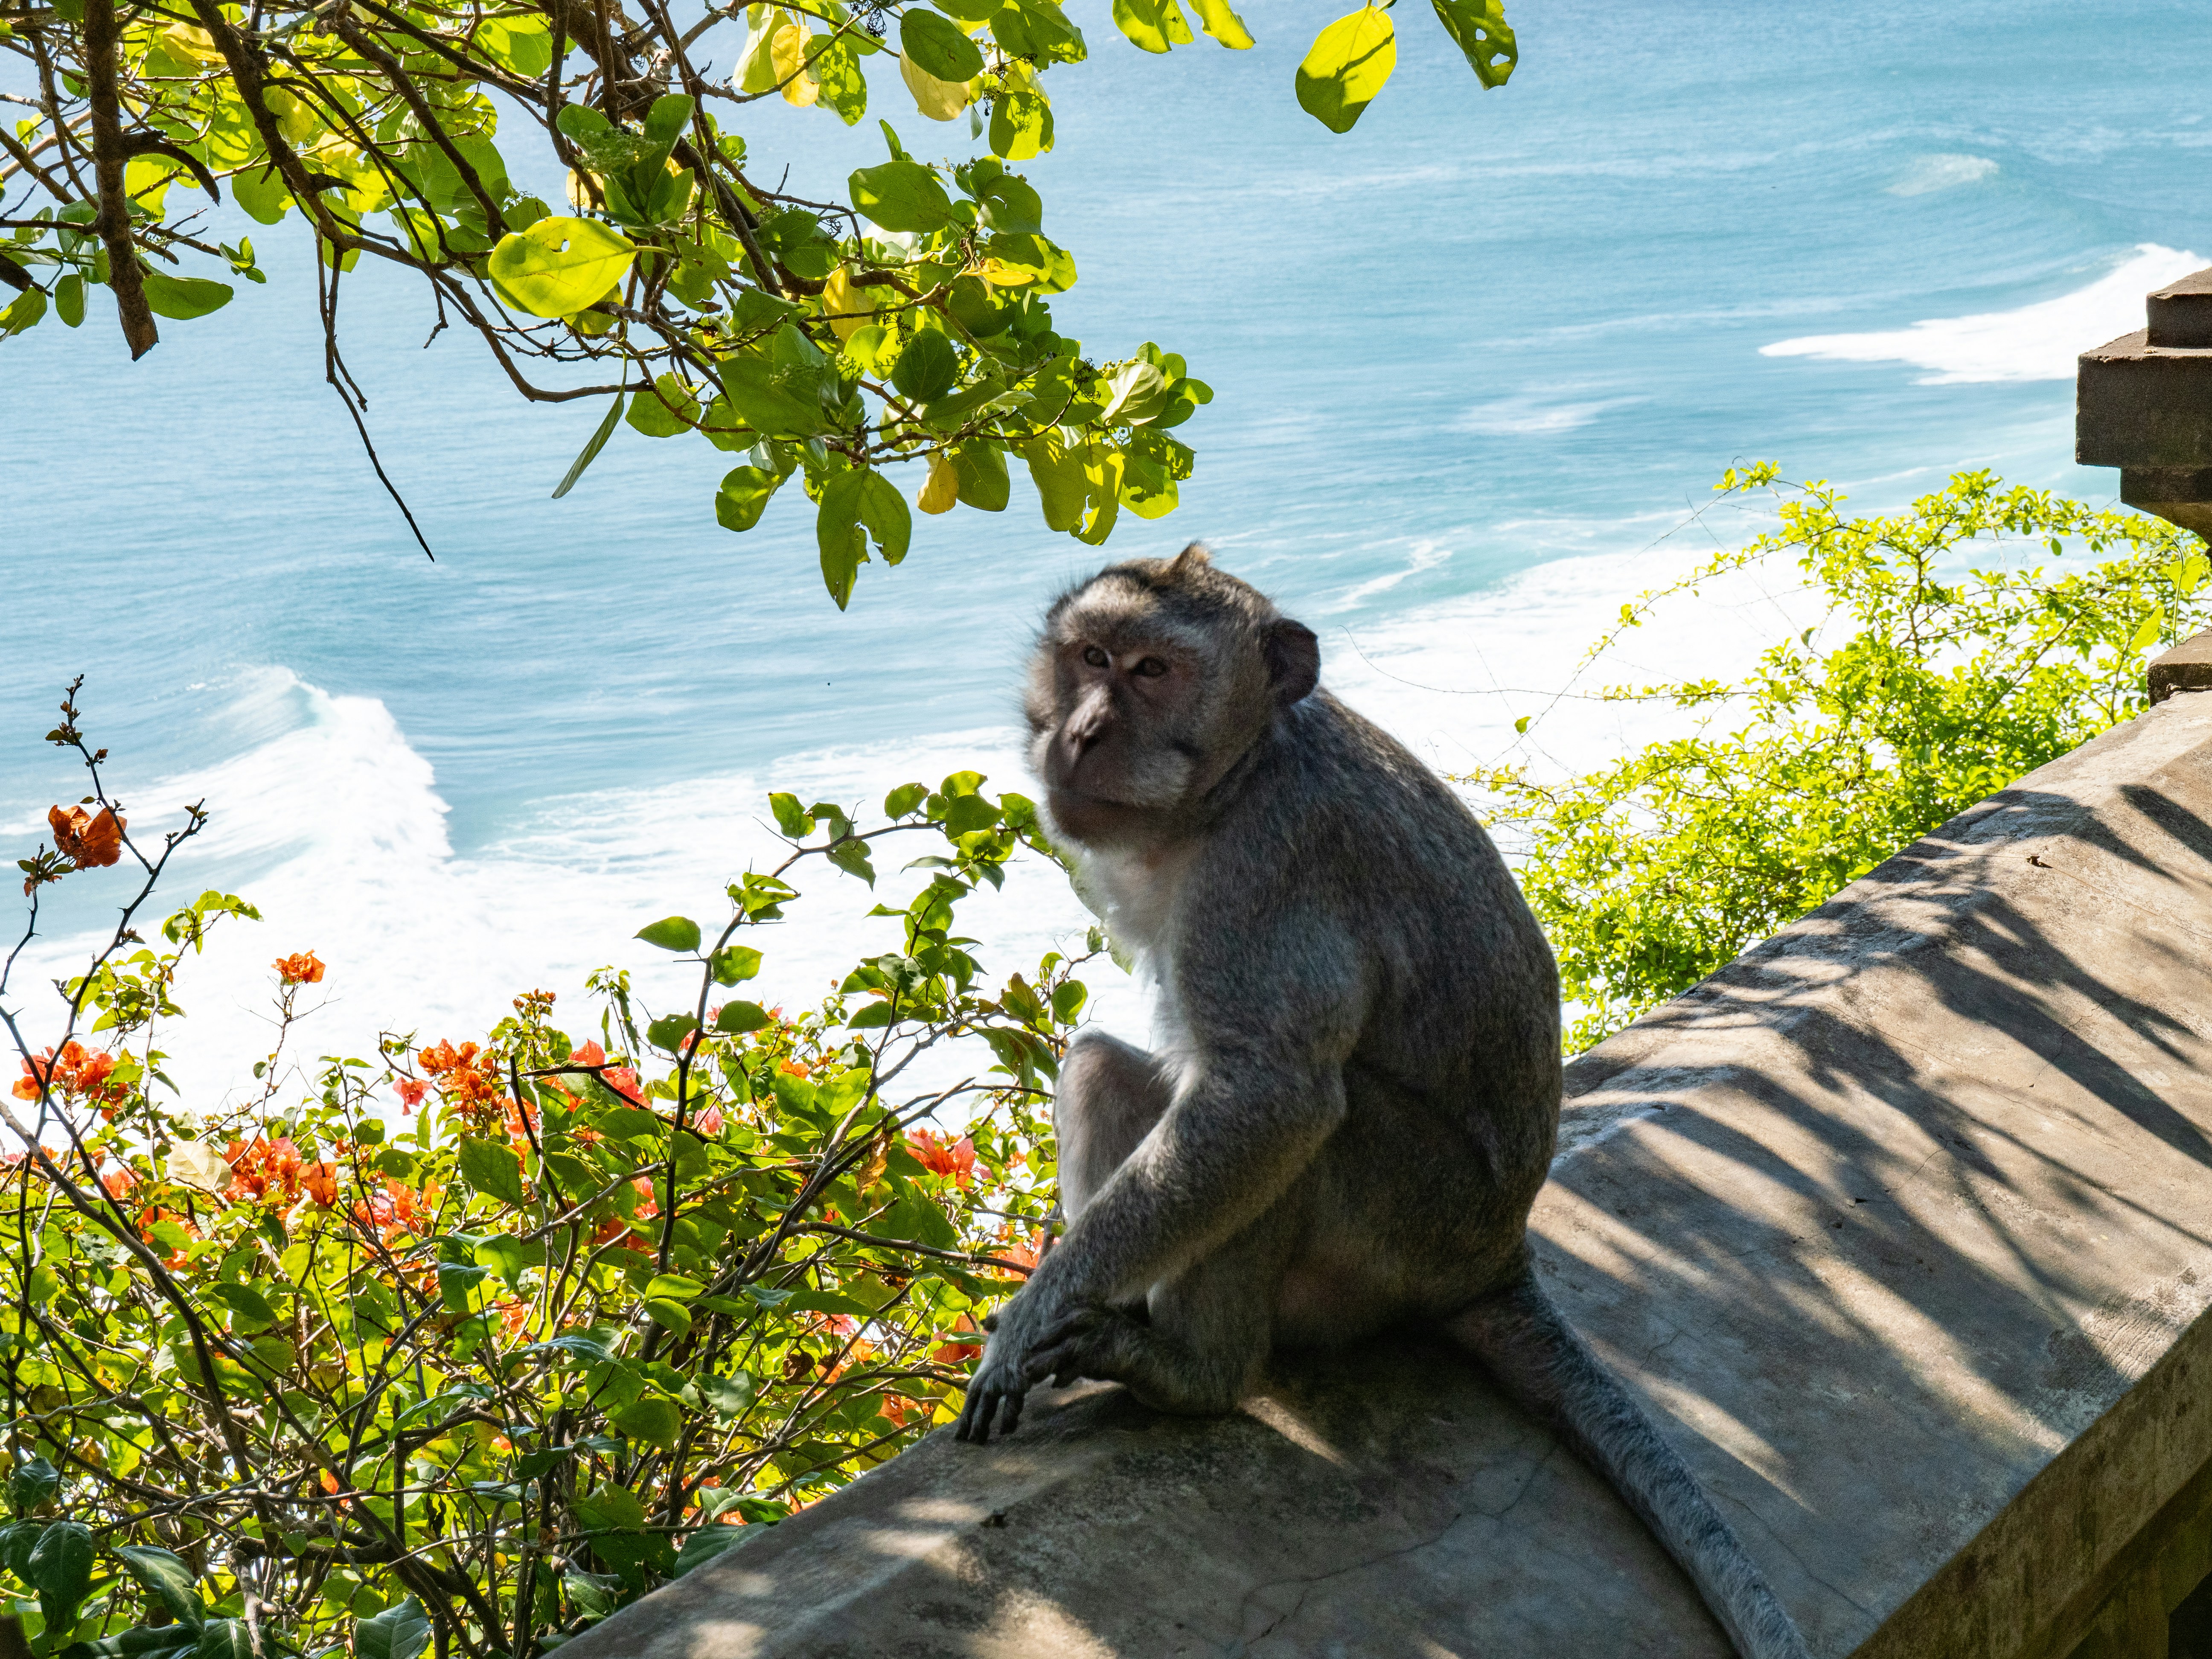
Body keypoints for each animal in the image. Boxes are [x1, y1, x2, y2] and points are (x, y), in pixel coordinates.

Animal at [952, 545, 1810, 1659]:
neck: (1234, 782)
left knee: (1314, 1127)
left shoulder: (1270, 868)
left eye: (1153, 672)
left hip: (1409, 1231)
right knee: (1102, 1065)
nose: (1083, 729)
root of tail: (1500, 1257)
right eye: (1089, 657)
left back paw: (1195, 1372)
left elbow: (1268, 1096)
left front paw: (1030, 1322)